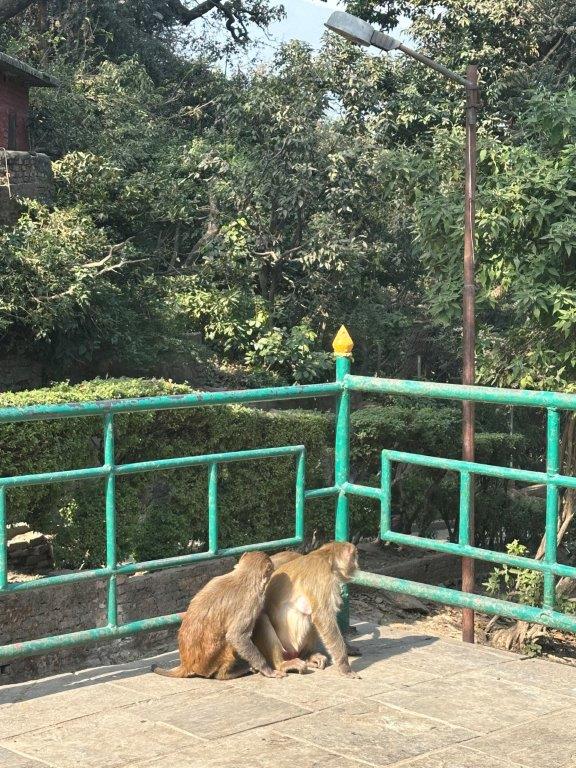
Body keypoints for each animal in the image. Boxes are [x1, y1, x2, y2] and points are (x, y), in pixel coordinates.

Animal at [152, 551, 284, 680]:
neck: (244, 577)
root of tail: (186, 664)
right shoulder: (252, 602)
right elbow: (236, 636)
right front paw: (266, 670)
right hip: (209, 663)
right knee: (228, 642)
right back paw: (226, 675)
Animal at [253, 541, 361, 678]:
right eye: (355, 556)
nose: (357, 564)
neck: (326, 558)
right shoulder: (323, 578)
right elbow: (323, 617)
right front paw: (345, 667)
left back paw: (309, 656)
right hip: (288, 648)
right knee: (263, 618)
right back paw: (281, 664)